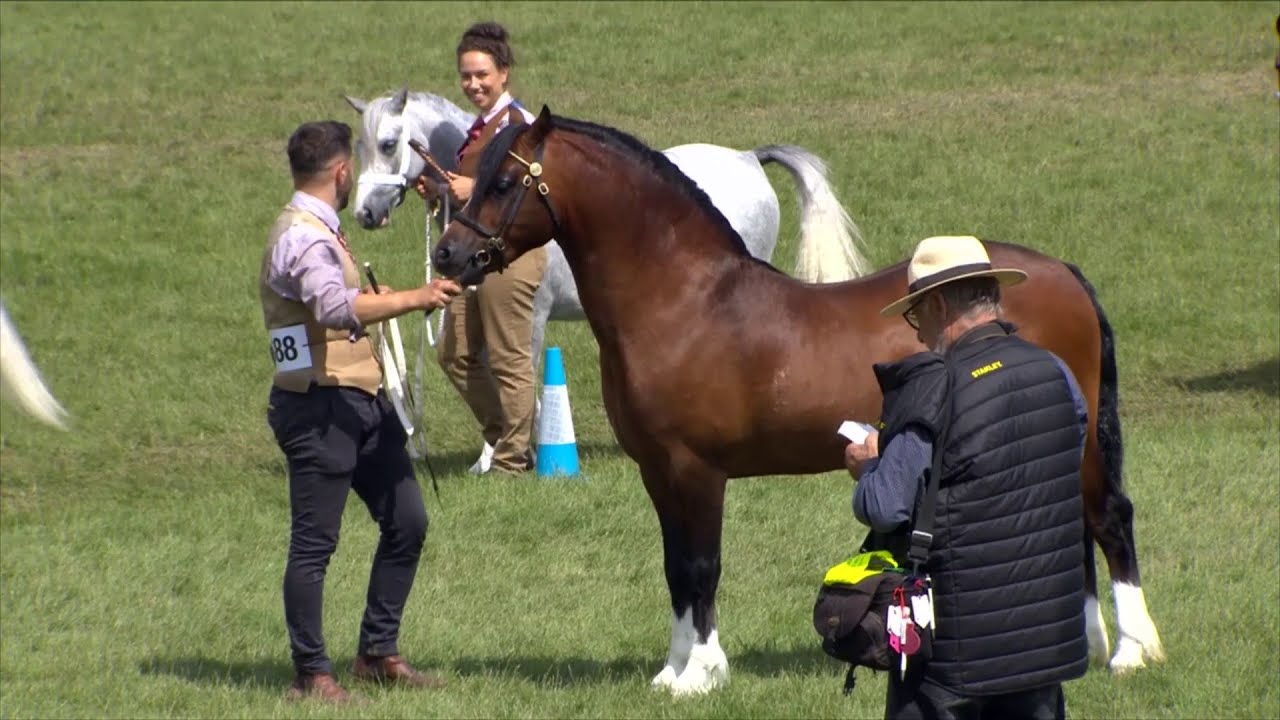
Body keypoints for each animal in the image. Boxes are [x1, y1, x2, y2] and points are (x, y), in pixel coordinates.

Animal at [430, 106, 1165, 695]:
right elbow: (675, 570)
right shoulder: (658, 472)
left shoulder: (696, 471)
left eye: (503, 182)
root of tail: (1062, 272)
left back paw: (1132, 653)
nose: (449, 255)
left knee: (1109, 517)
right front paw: (672, 671)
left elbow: (701, 565)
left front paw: (702, 674)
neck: (684, 302)